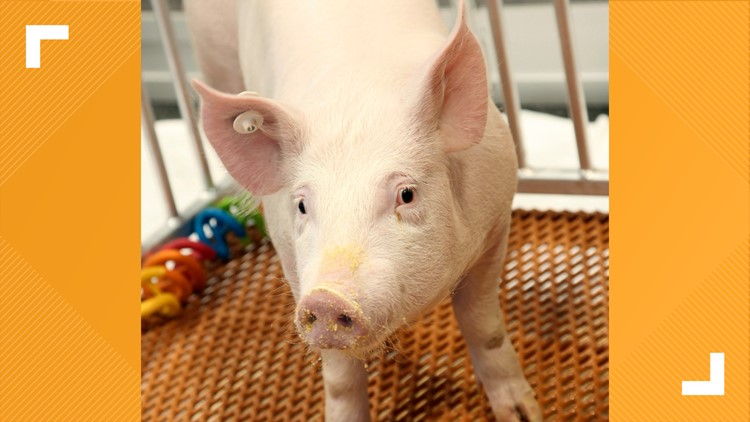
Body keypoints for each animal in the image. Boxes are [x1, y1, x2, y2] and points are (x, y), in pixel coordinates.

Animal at [185, 0, 542, 420]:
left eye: (407, 194)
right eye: (302, 204)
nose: (326, 299)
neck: (355, 97)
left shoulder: (496, 221)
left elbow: (482, 324)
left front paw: (524, 413)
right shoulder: (293, 265)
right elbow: (340, 376)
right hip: (212, 50)